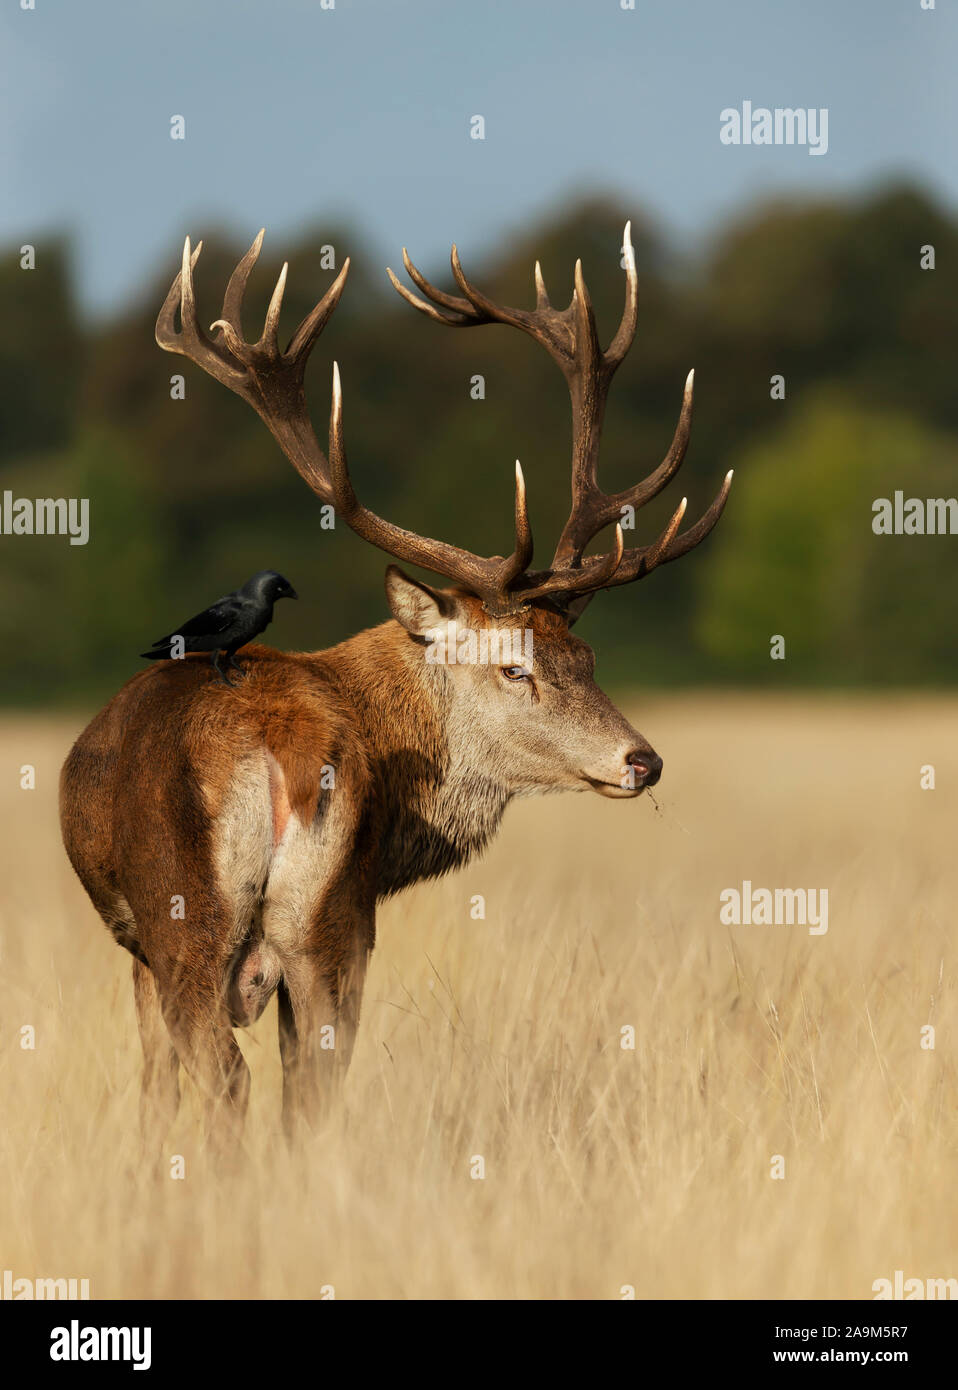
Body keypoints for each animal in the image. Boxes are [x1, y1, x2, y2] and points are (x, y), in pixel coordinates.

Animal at [60, 223, 732, 1149]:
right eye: (518, 665)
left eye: (585, 658)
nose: (642, 761)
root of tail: (283, 752)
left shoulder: (139, 943)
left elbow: (157, 1090)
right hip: (326, 921)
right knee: (311, 1082)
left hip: (191, 914)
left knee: (225, 1076)